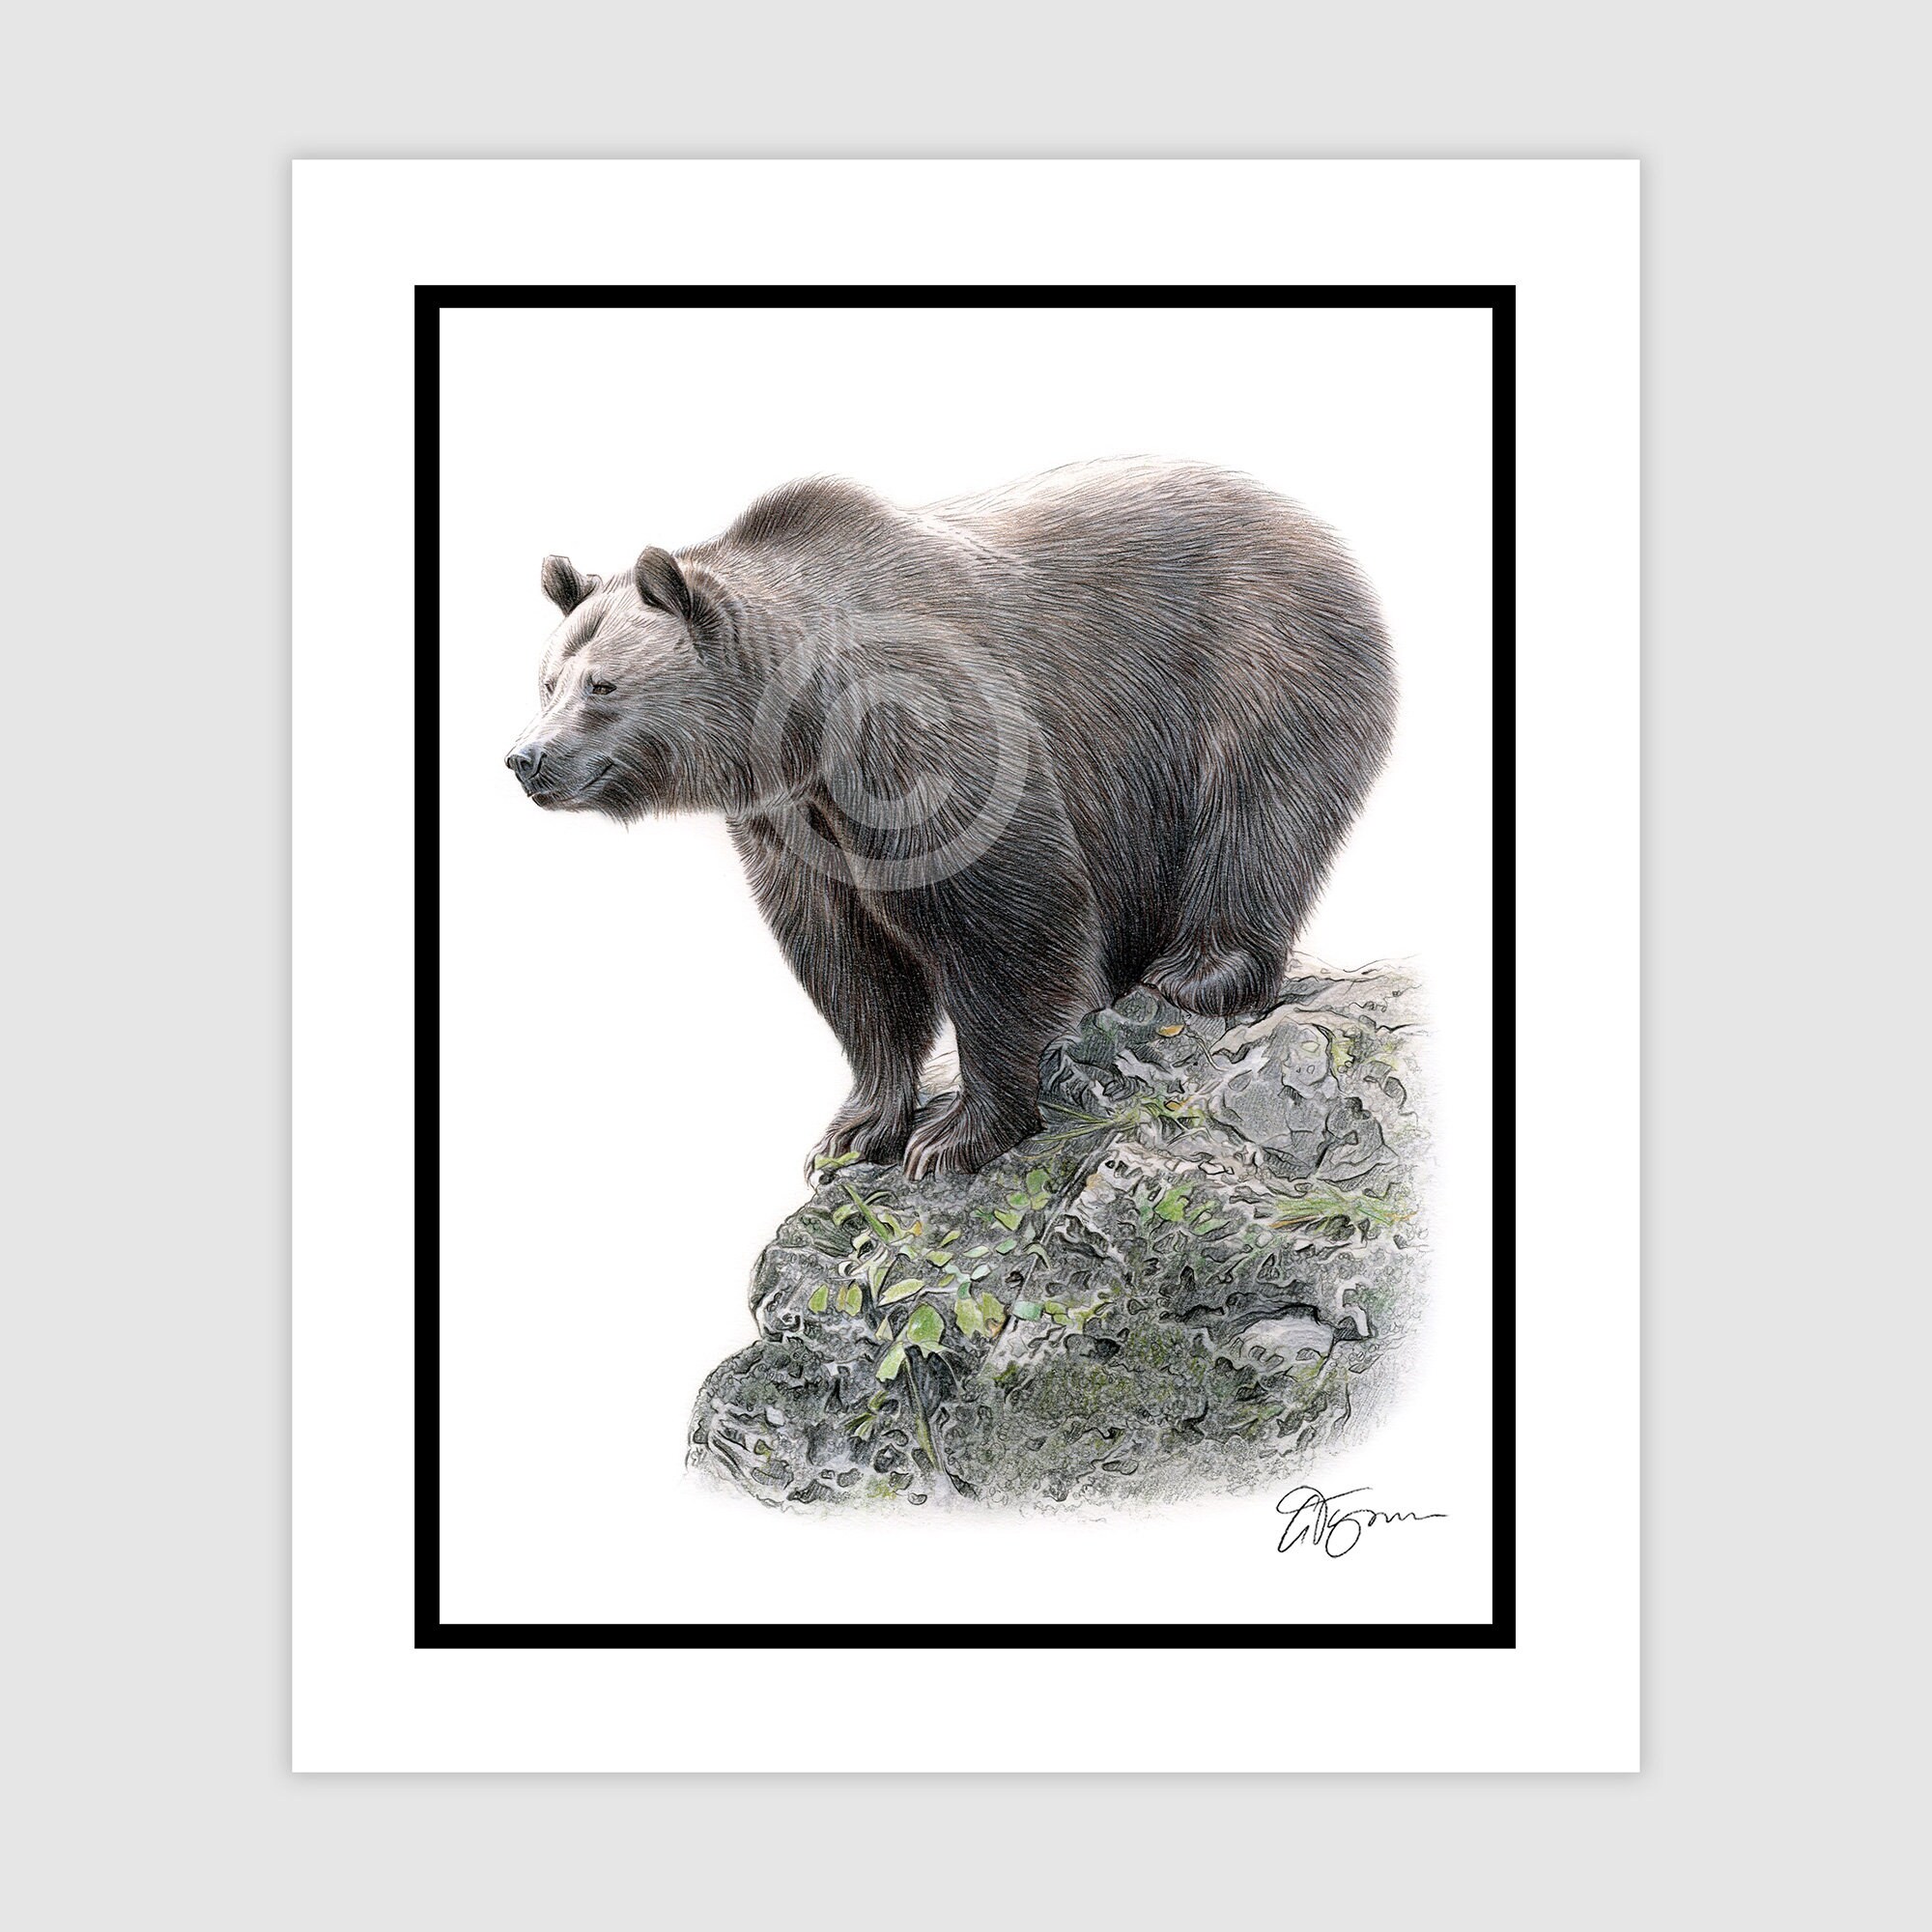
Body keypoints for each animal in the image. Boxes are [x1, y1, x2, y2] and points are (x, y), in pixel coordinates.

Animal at [506, 459, 1396, 1178]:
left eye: (602, 686)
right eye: (547, 681)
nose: (527, 758)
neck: (800, 731)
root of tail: (1315, 528)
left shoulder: (923, 730)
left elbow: (1005, 911)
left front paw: (959, 1134)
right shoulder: (793, 823)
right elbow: (846, 958)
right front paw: (858, 1127)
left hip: (1259, 660)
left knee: (1255, 813)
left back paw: (1197, 972)